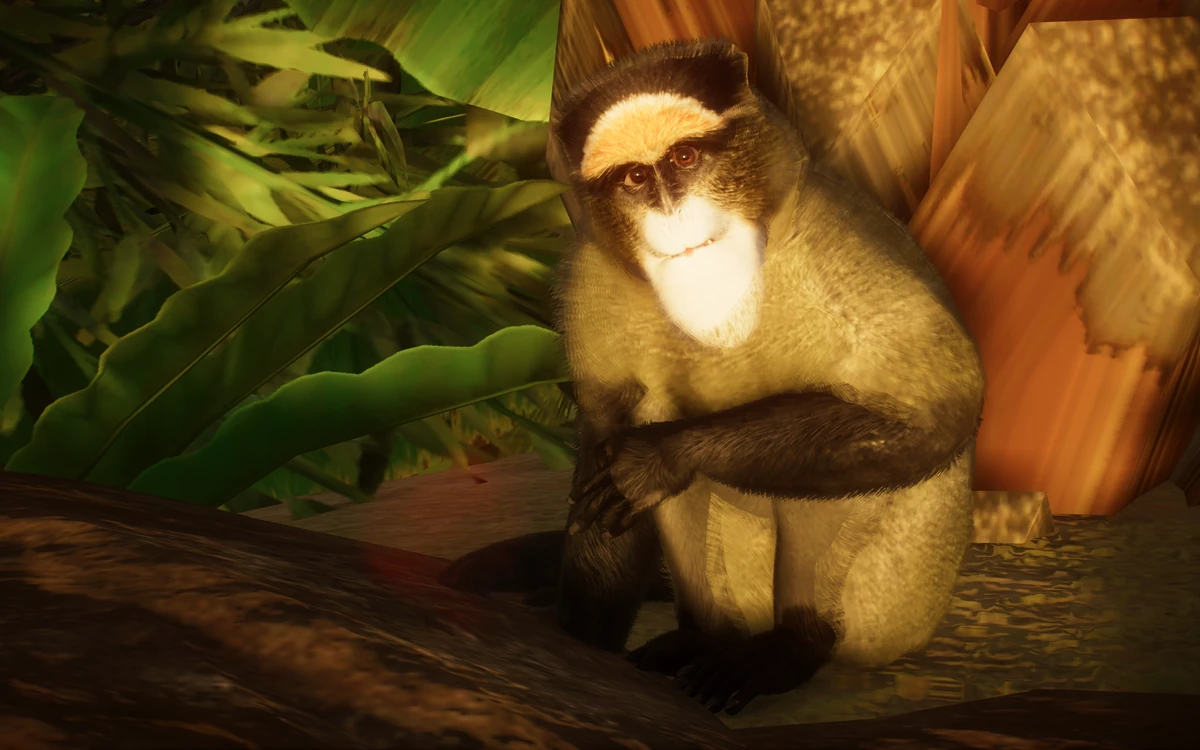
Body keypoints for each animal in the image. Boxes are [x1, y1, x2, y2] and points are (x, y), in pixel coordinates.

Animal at [547, 39, 986, 716]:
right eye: (635, 178)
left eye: (685, 157)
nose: (672, 213)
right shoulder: (591, 283)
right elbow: (607, 439)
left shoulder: (839, 247)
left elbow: (939, 412)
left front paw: (660, 457)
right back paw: (704, 638)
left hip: (903, 598)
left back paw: (794, 643)